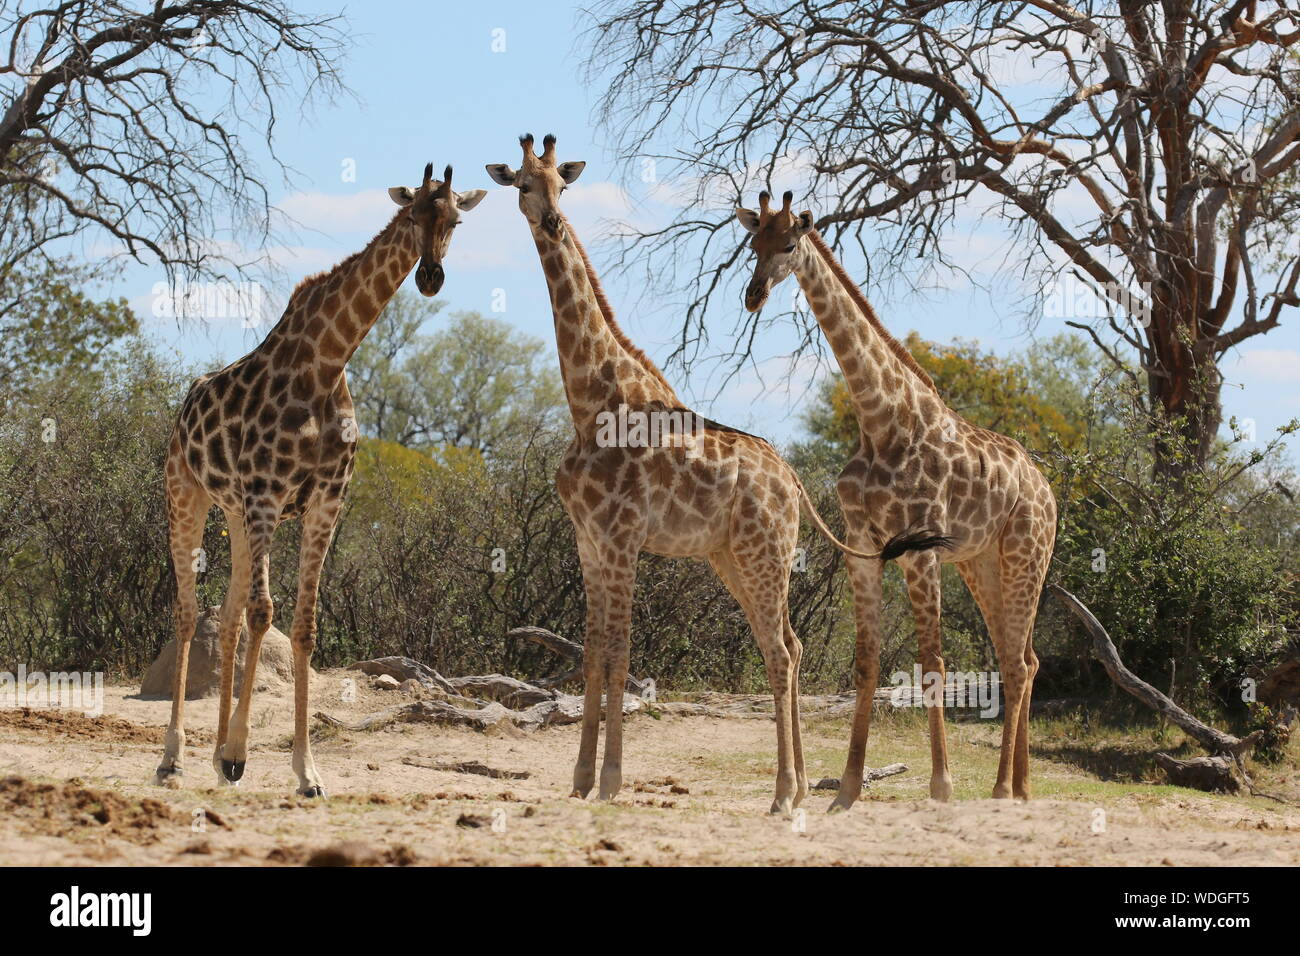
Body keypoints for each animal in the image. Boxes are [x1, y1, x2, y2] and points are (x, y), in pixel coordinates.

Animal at [153, 163, 486, 797]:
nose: (430, 277)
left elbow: (302, 626)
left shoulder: (324, 501)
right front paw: (240, 753)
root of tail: (182, 407)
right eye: (412, 214)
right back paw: (173, 758)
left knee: (225, 617)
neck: (328, 361)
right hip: (187, 495)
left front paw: (303, 771)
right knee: (186, 613)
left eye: (456, 218)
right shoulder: (266, 494)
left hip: (233, 513)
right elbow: (265, 613)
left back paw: (213, 758)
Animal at [486, 135, 946, 814]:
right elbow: (592, 655)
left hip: (762, 554)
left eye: (563, 186)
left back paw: (784, 794)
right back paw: (799, 786)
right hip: (732, 558)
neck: (590, 401)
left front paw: (611, 781)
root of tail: (795, 483)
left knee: (780, 652)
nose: (551, 221)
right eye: (522, 183)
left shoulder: (622, 539)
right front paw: (579, 780)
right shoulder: (588, 541)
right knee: (791, 645)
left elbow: (620, 655)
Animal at [737, 190, 1057, 810]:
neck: (879, 420)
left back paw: (1005, 788)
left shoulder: (920, 547)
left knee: (1018, 660)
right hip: (982, 563)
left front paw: (941, 786)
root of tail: (1047, 489)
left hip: (1025, 555)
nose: (753, 295)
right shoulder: (863, 544)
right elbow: (866, 662)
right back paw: (1019, 787)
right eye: (752, 244)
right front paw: (845, 791)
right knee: (1022, 658)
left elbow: (932, 661)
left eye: (788, 244)